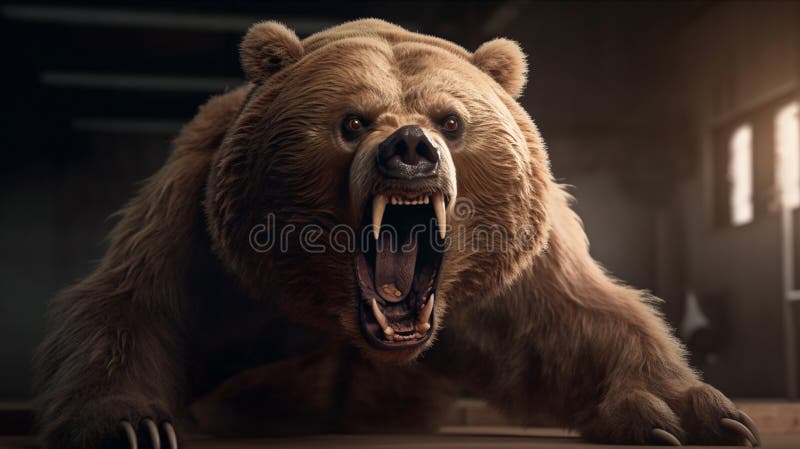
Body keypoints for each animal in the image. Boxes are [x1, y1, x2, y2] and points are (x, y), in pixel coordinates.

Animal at [34, 19, 760, 448]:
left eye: (452, 120)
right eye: (352, 121)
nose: (411, 145)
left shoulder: (508, 280)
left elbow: (587, 323)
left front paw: (690, 412)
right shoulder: (205, 233)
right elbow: (136, 306)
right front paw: (128, 422)